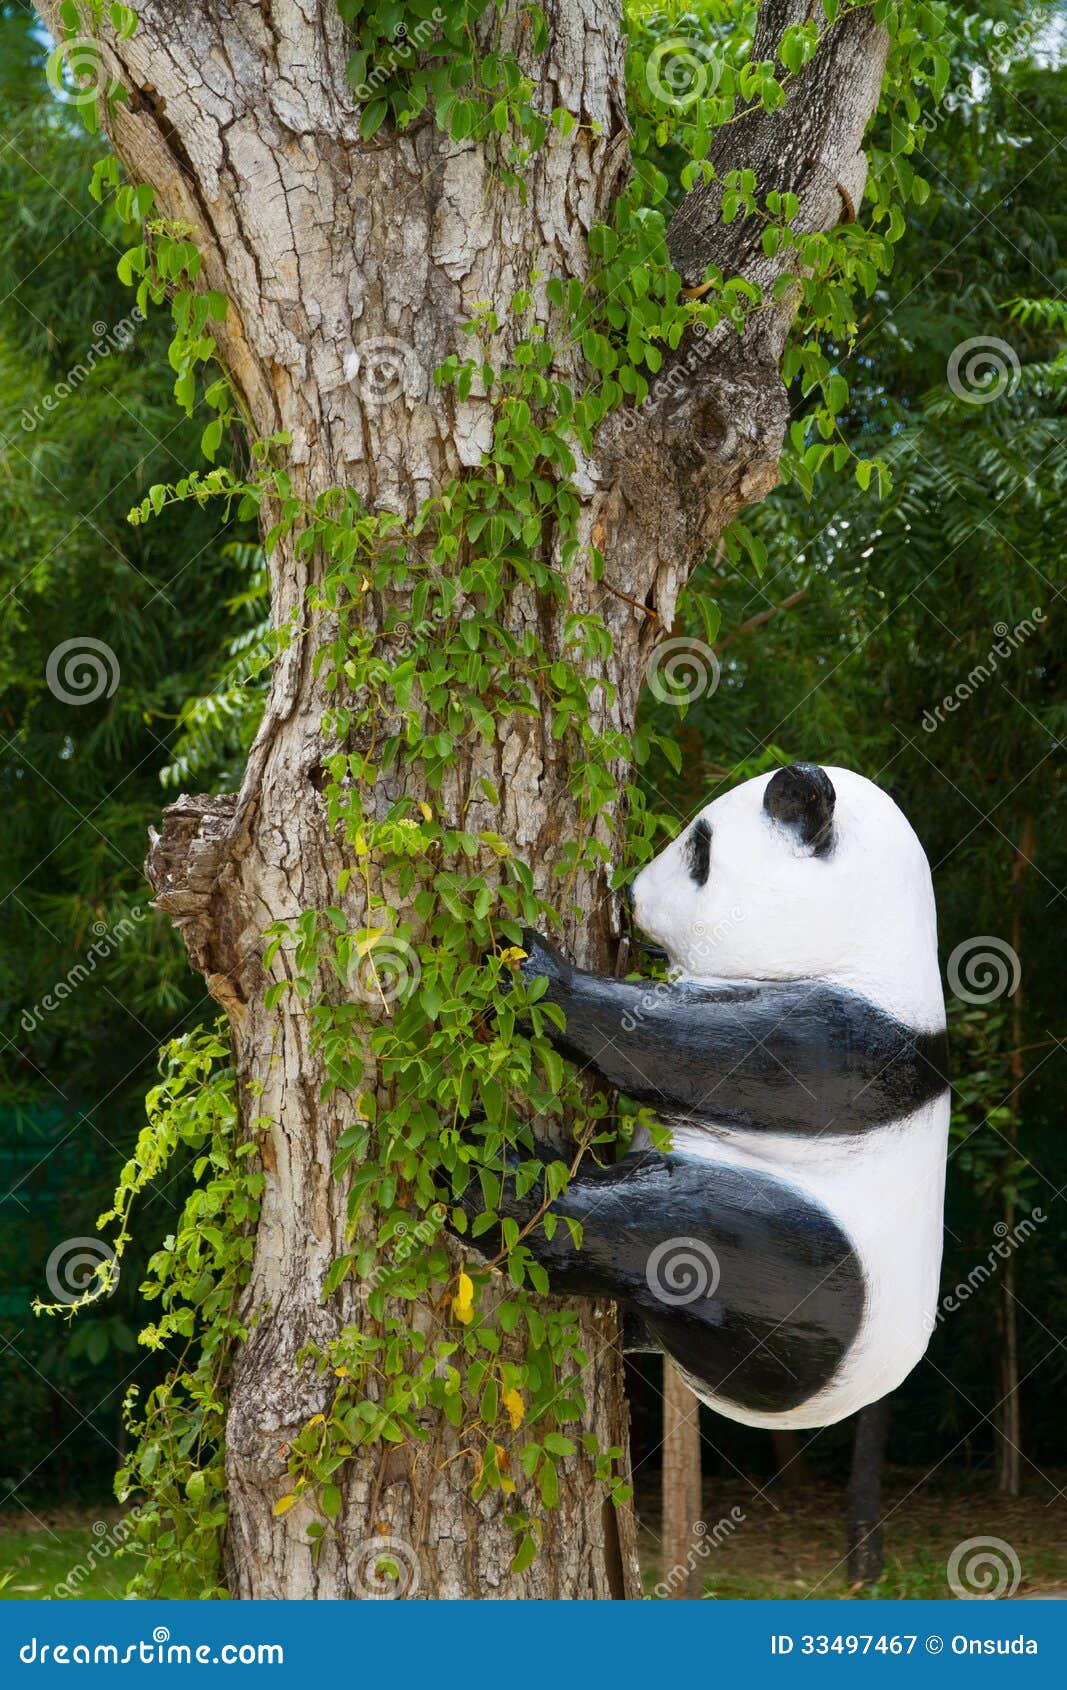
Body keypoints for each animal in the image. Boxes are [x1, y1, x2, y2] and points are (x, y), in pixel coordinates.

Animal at [465, 763, 950, 1430]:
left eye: (701, 852)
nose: (630, 898)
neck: (868, 942)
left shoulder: (846, 1043)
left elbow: (685, 1046)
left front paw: (531, 969)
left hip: (804, 1273)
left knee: (675, 1230)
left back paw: (491, 1181)